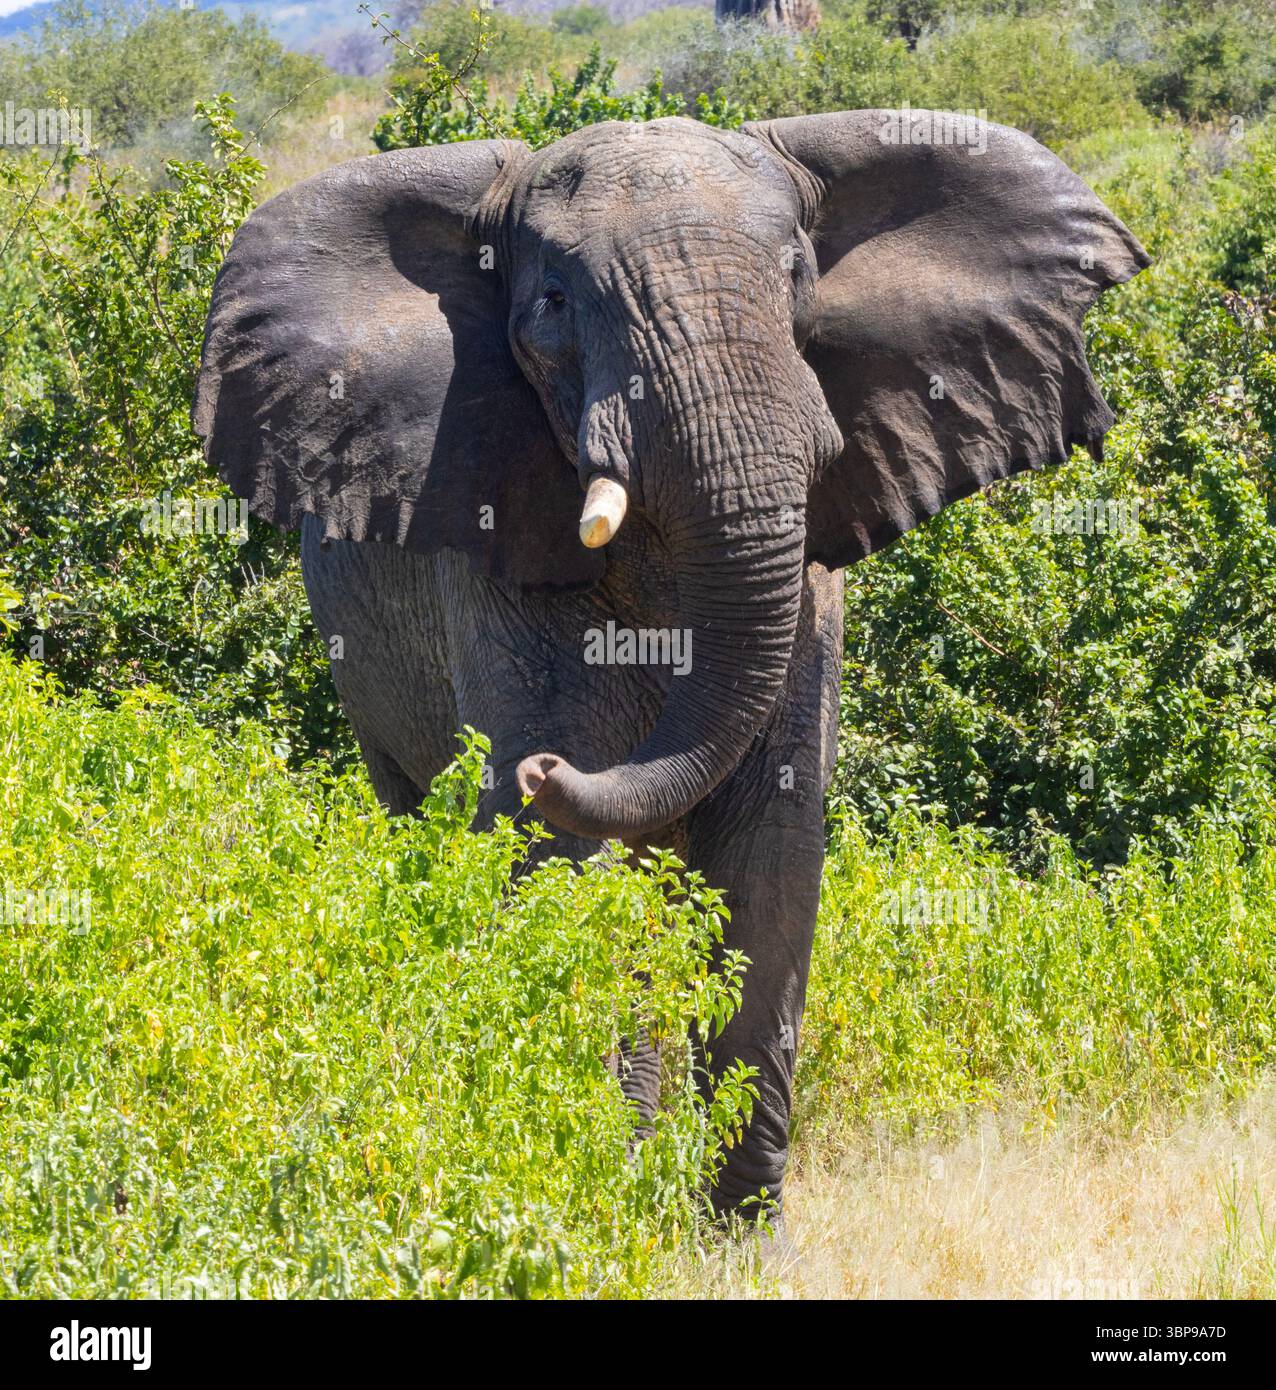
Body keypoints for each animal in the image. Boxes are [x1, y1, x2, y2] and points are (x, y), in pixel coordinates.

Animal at [194, 110, 1147, 1219]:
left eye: (796, 274)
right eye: (554, 305)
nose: (540, 770)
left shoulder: (807, 598)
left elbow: (772, 860)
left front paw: (737, 1229)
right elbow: (569, 871)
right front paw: (621, 1195)